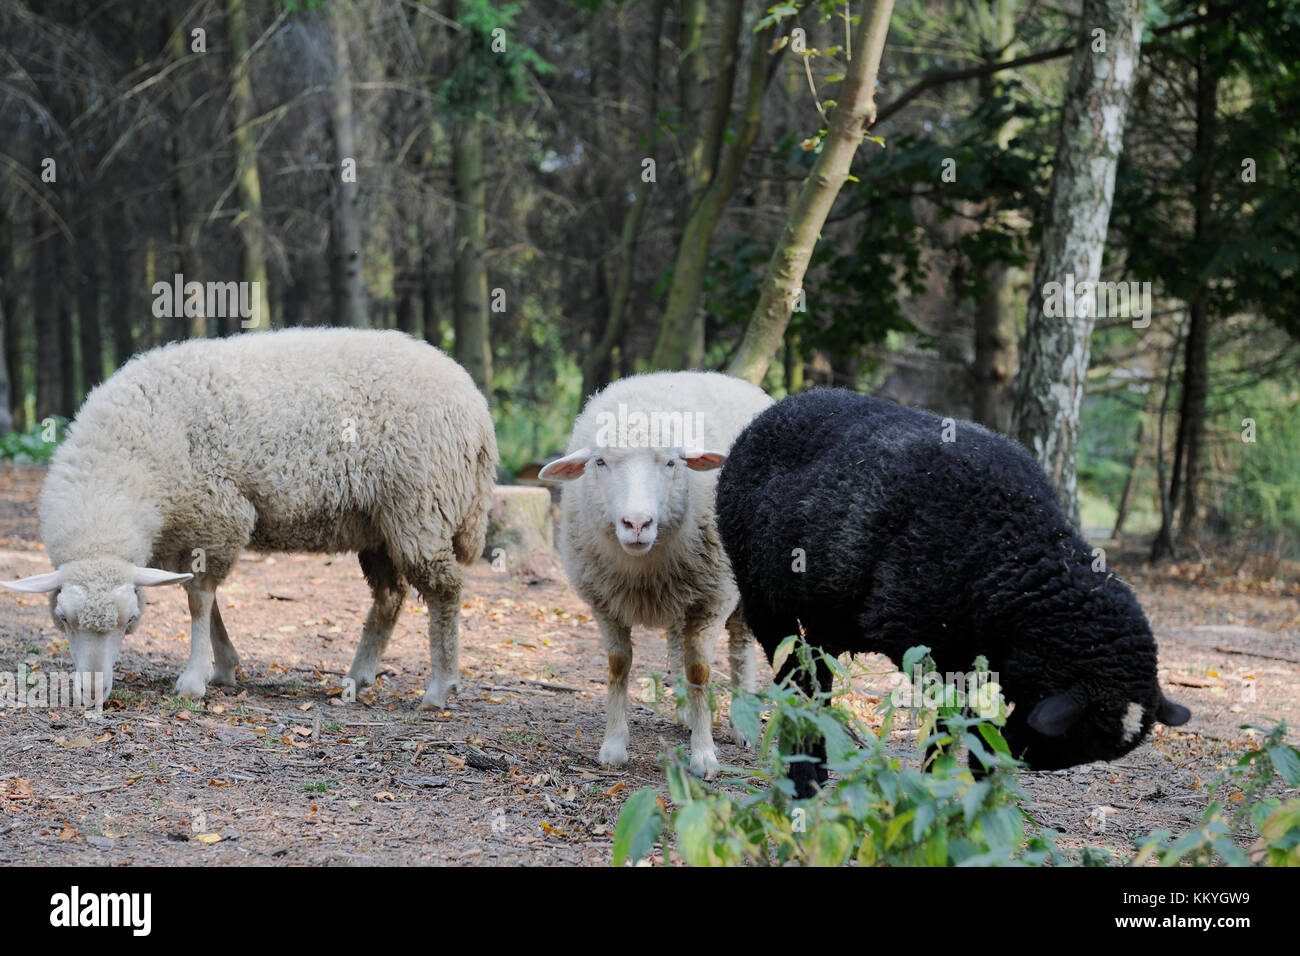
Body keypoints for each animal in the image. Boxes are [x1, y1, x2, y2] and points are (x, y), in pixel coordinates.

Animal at [1, 328, 498, 709]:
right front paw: (223, 665)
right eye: (62, 620)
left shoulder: (218, 514)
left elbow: (199, 599)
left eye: (130, 622)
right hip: (380, 523)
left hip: (420, 507)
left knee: (444, 590)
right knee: (390, 596)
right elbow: (204, 598)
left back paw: (439, 689)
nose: (90, 693)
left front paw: (195, 678)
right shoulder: (190, 532)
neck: (132, 458)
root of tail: (476, 405)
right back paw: (359, 677)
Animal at [539, 371, 772, 778]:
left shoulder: (713, 599)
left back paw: (741, 724)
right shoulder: (603, 602)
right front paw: (613, 746)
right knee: (676, 642)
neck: (643, 568)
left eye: (671, 463)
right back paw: (686, 715)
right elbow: (619, 666)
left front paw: (704, 756)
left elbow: (700, 670)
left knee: (741, 649)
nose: (637, 523)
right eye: (600, 462)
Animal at [715, 388, 1191, 797]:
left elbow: (976, 725)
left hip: (821, 614)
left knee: (817, 677)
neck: (1011, 549)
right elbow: (951, 725)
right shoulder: (929, 646)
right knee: (795, 682)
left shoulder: (984, 655)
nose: (1018, 758)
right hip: (764, 601)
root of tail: (772, 411)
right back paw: (805, 776)